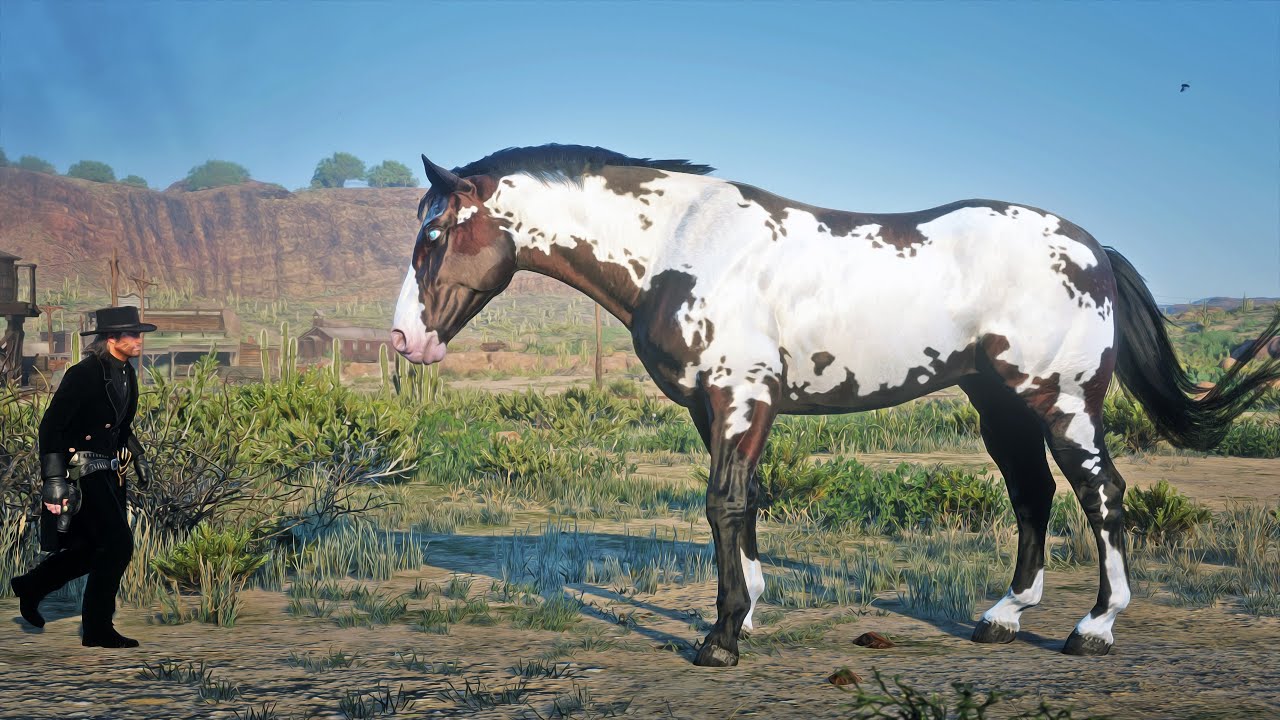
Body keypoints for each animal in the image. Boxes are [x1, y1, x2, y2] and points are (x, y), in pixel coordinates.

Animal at [391, 144, 1280, 667]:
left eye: (436, 235)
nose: (405, 339)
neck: (682, 245)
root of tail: (1092, 248)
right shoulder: (718, 407)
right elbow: (744, 505)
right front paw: (748, 614)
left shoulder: (740, 395)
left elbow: (723, 505)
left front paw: (720, 639)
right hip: (1001, 406)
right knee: (1033, 495)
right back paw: (1002, 617)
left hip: (1062, 400)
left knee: (1102, 495)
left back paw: (1094, 628)